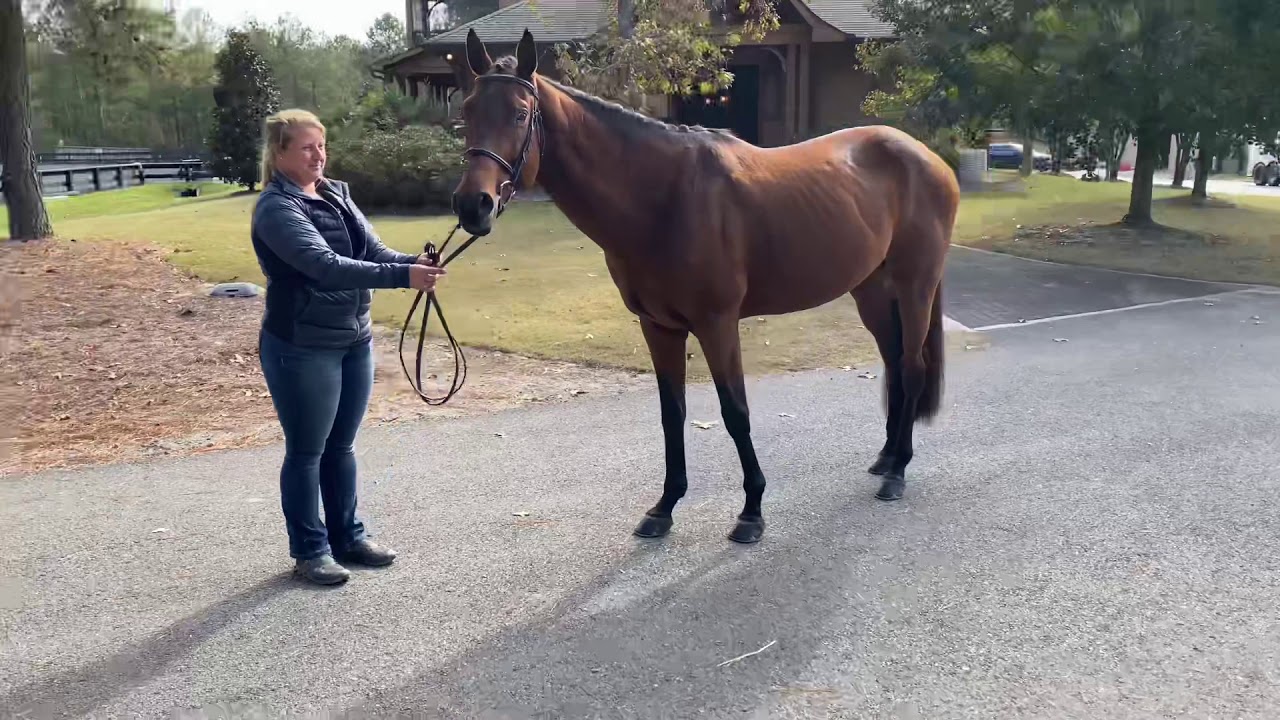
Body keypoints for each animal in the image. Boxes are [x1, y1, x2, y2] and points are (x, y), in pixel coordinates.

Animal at [450, 28, 959, 545]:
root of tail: (928, 157)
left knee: (912, 367)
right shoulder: (658, 327)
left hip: (915, 286)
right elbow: (671, 414)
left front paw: (751, 512)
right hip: (871, 291)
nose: (473, 205)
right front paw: (664, 507)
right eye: (468, 110)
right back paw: (886, 458)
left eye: (519, 113)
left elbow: (735, 412)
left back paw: (898, 473)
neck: (664, 198)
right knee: (894, 364)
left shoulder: (717, 324)